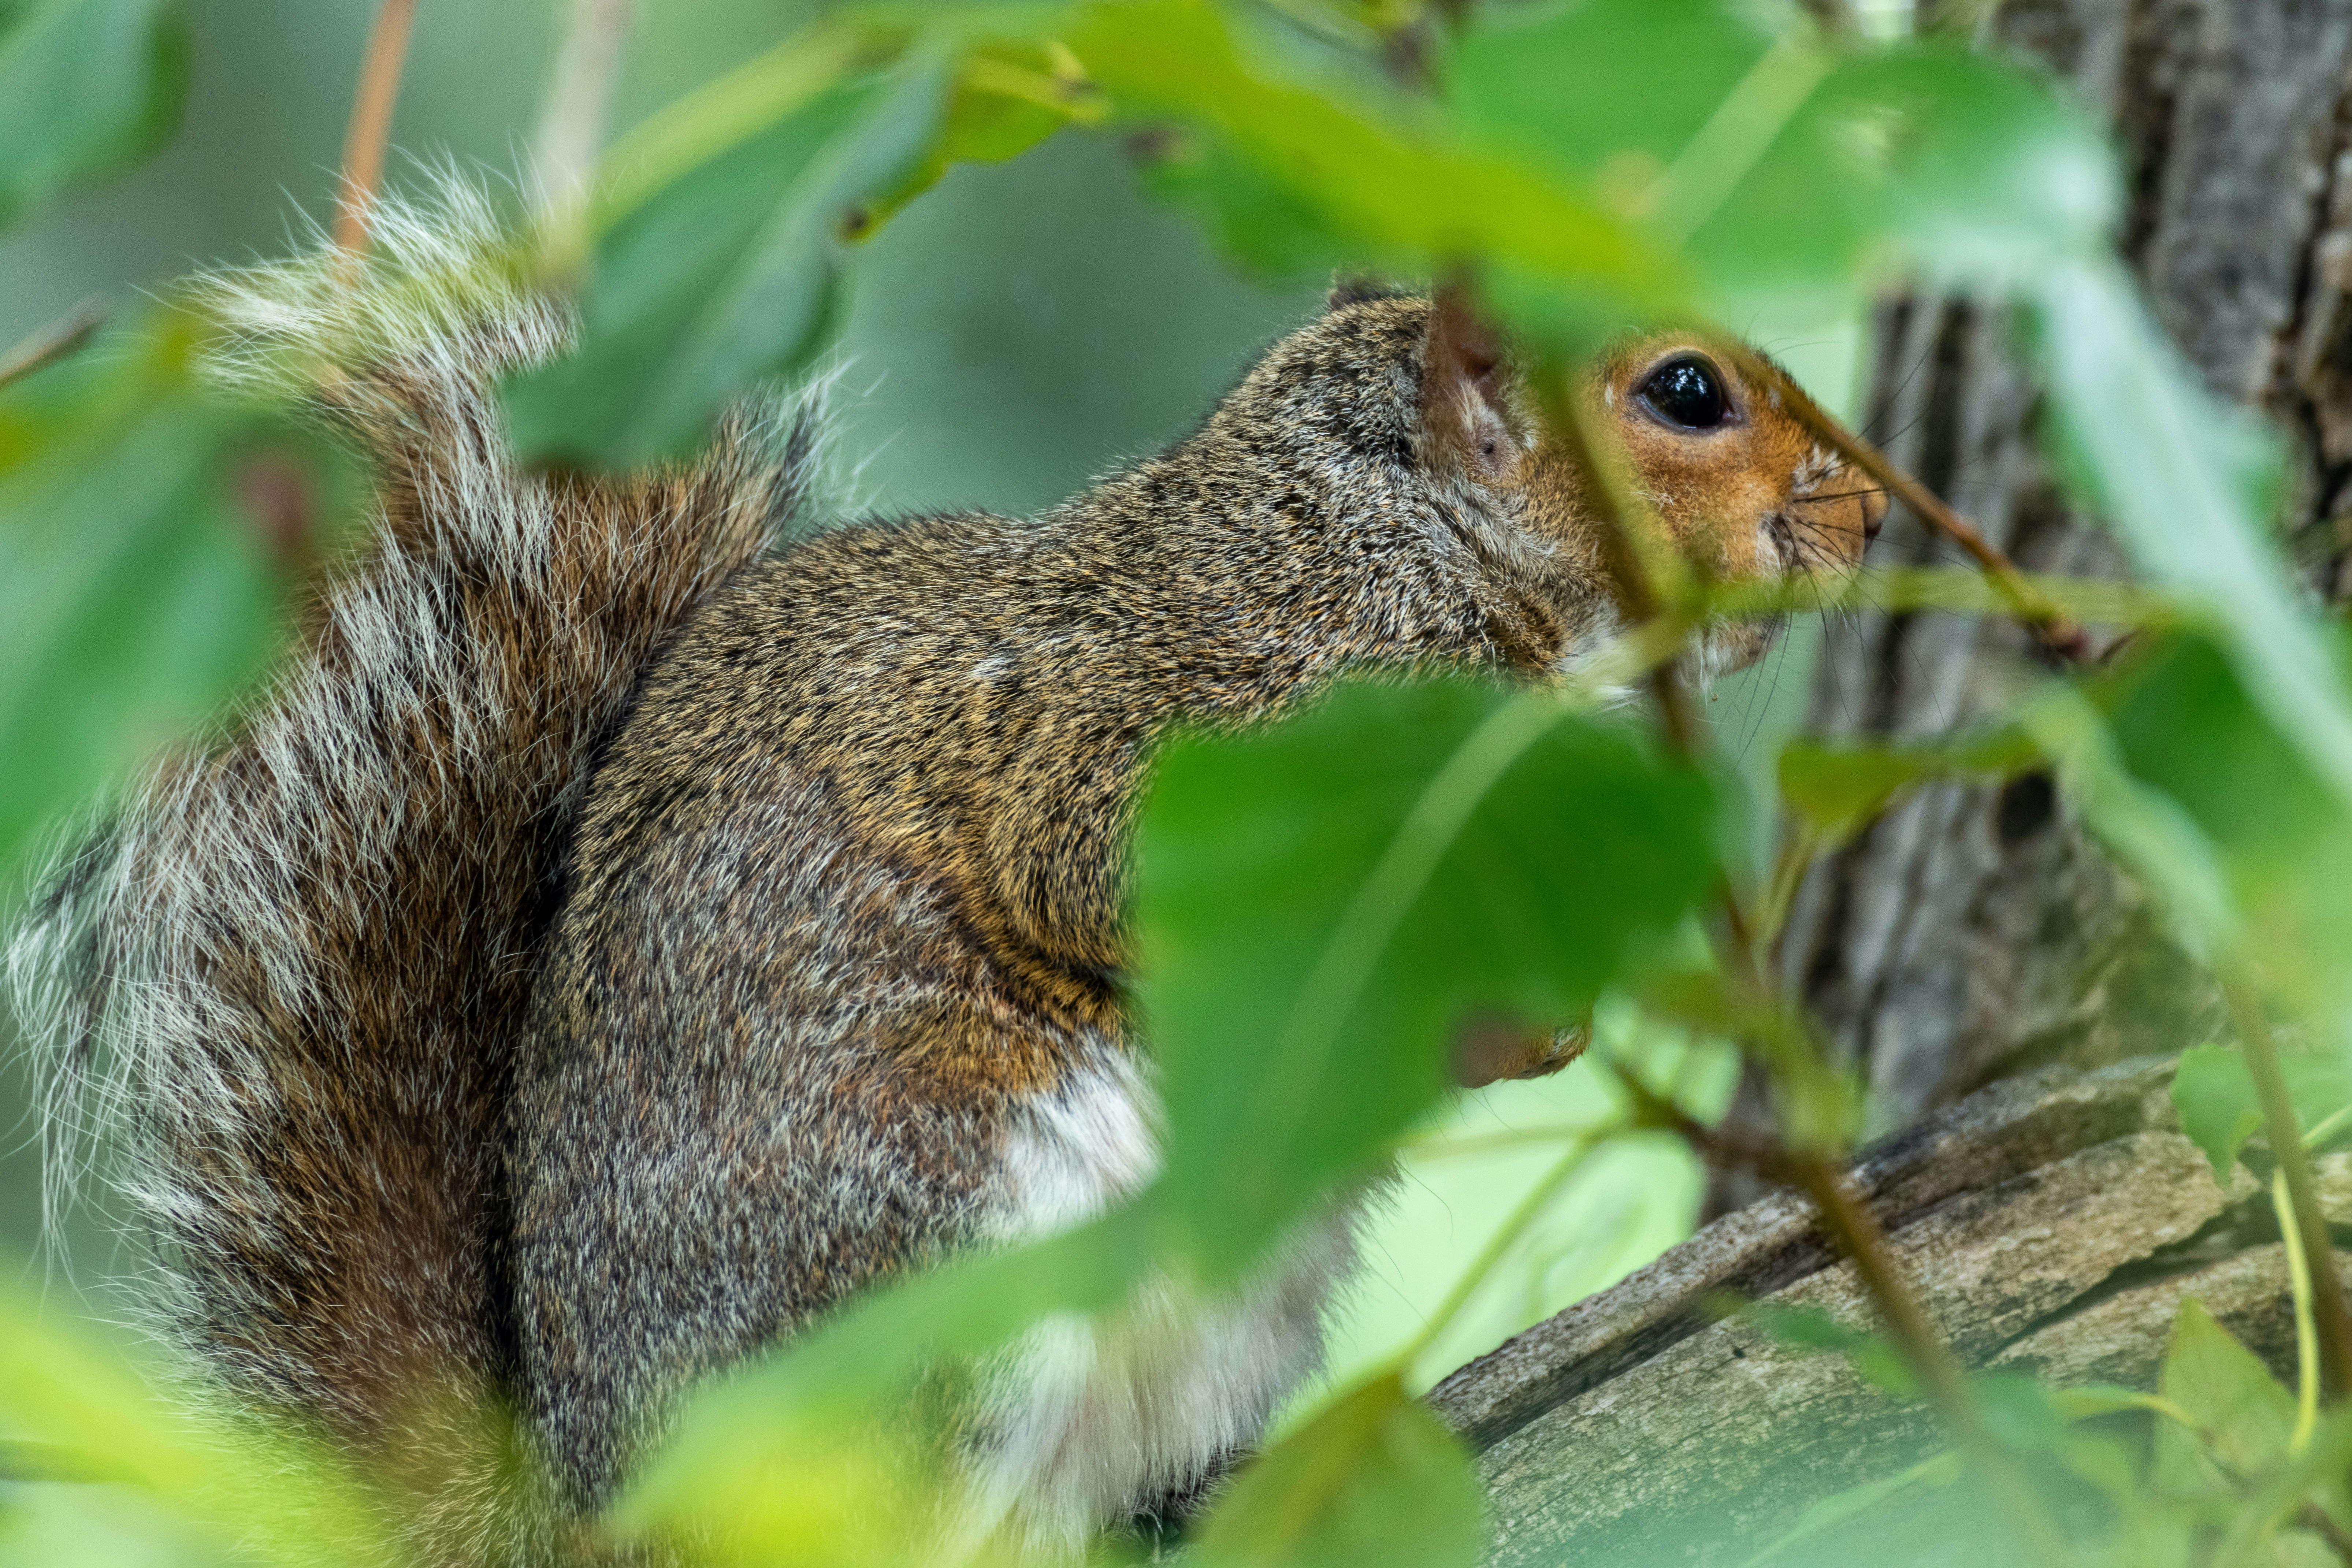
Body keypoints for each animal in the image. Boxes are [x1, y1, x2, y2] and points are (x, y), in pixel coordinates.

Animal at [7, 185, 1881, 1563]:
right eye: (1687, 392)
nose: (1874, 517)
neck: (1421, 533)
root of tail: (606, 1518)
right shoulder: (1180, 722)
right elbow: (1114, 887)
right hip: (944, 1258)